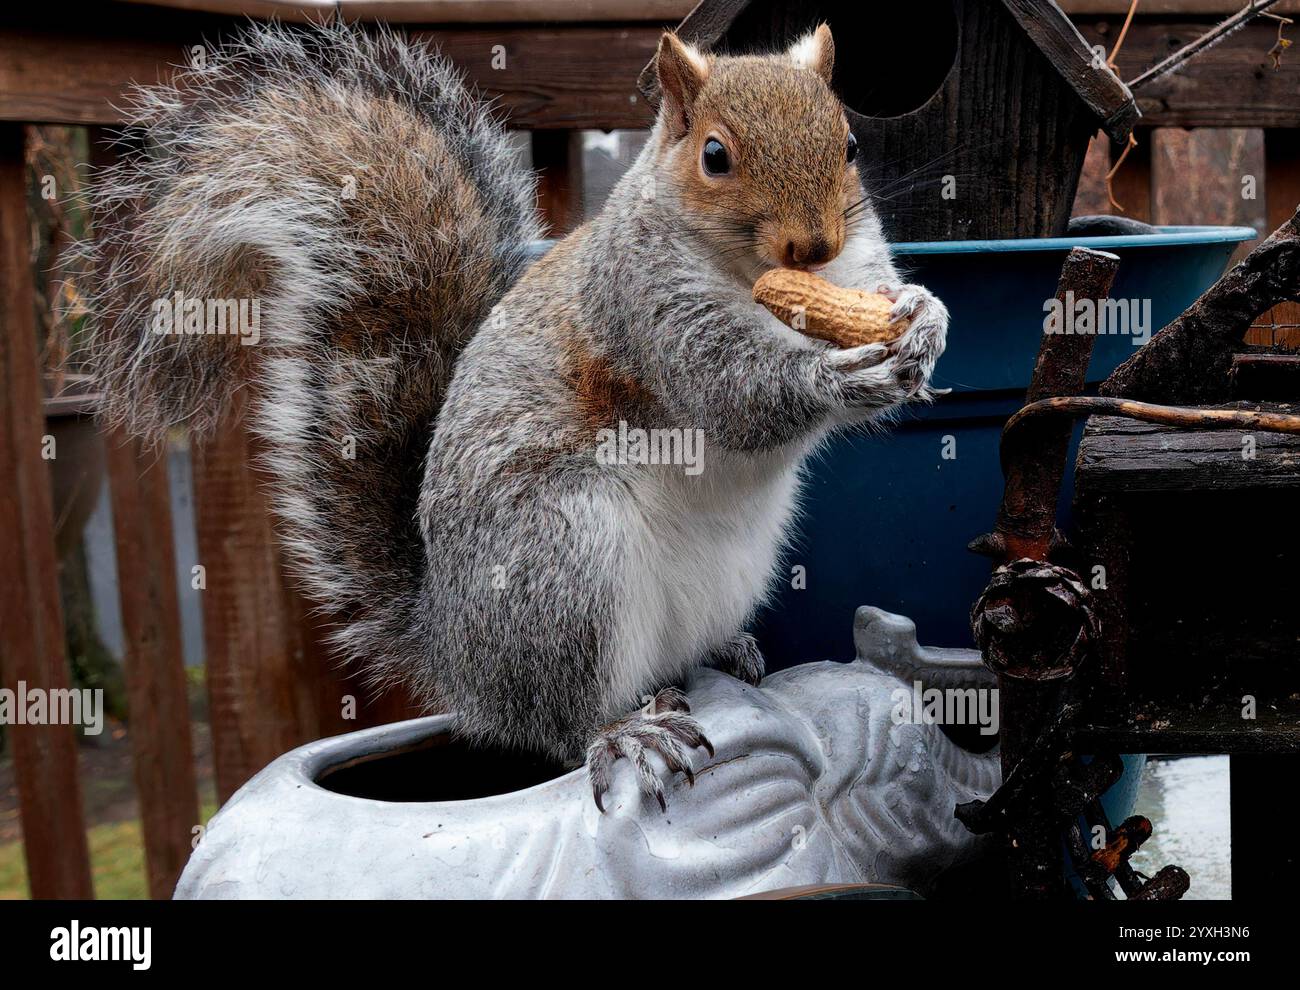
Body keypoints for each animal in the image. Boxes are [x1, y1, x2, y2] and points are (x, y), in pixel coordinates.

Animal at [81, 19, 947, 812]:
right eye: (714, 156)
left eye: (849, 143)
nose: (814, 247)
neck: (757, 282)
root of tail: (454, 653)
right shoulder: (641, 304)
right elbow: (734, 393)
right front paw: (838, 373)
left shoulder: (852, 265)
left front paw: (923, 316)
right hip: (558, 562)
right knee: (556, 722)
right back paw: (624, 731)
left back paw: (724, 652)